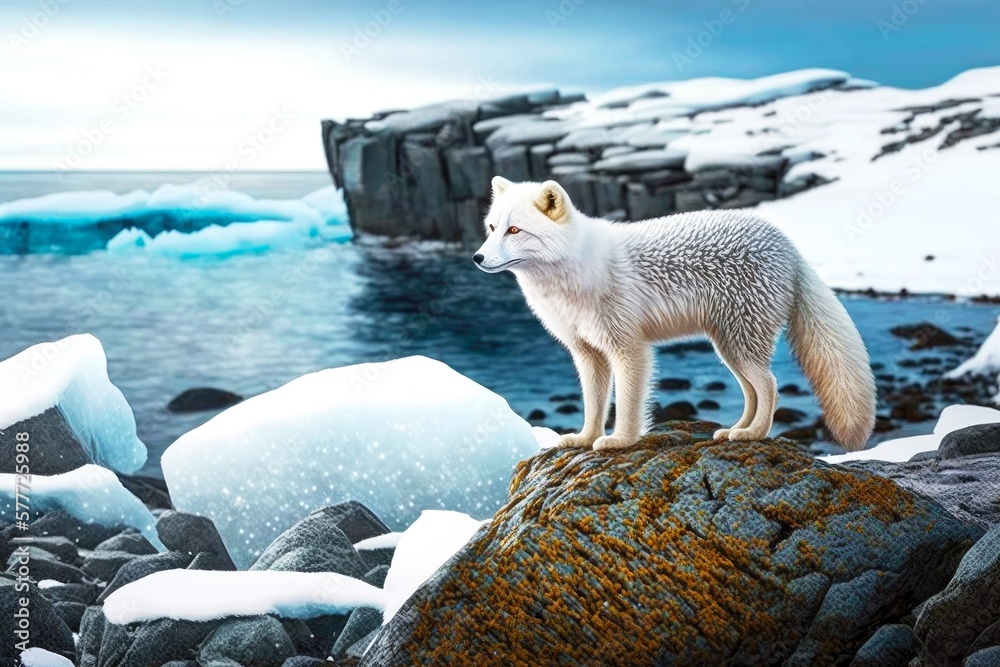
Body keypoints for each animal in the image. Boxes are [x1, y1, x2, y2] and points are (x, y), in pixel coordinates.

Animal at [473, 176, 877, 452]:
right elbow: (594, 404)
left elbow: (628, 403)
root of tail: (789, 246)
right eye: (492, 228)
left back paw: (753, 434)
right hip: (729, 347)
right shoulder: (587, 353)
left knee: (770, 386)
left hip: (741, 341)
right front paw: (585, 438)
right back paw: (734, 429)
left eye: (515, 230)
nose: (477, 258)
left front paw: (621, 441)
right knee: (754, 389)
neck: (574, 274)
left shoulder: (629, 348)